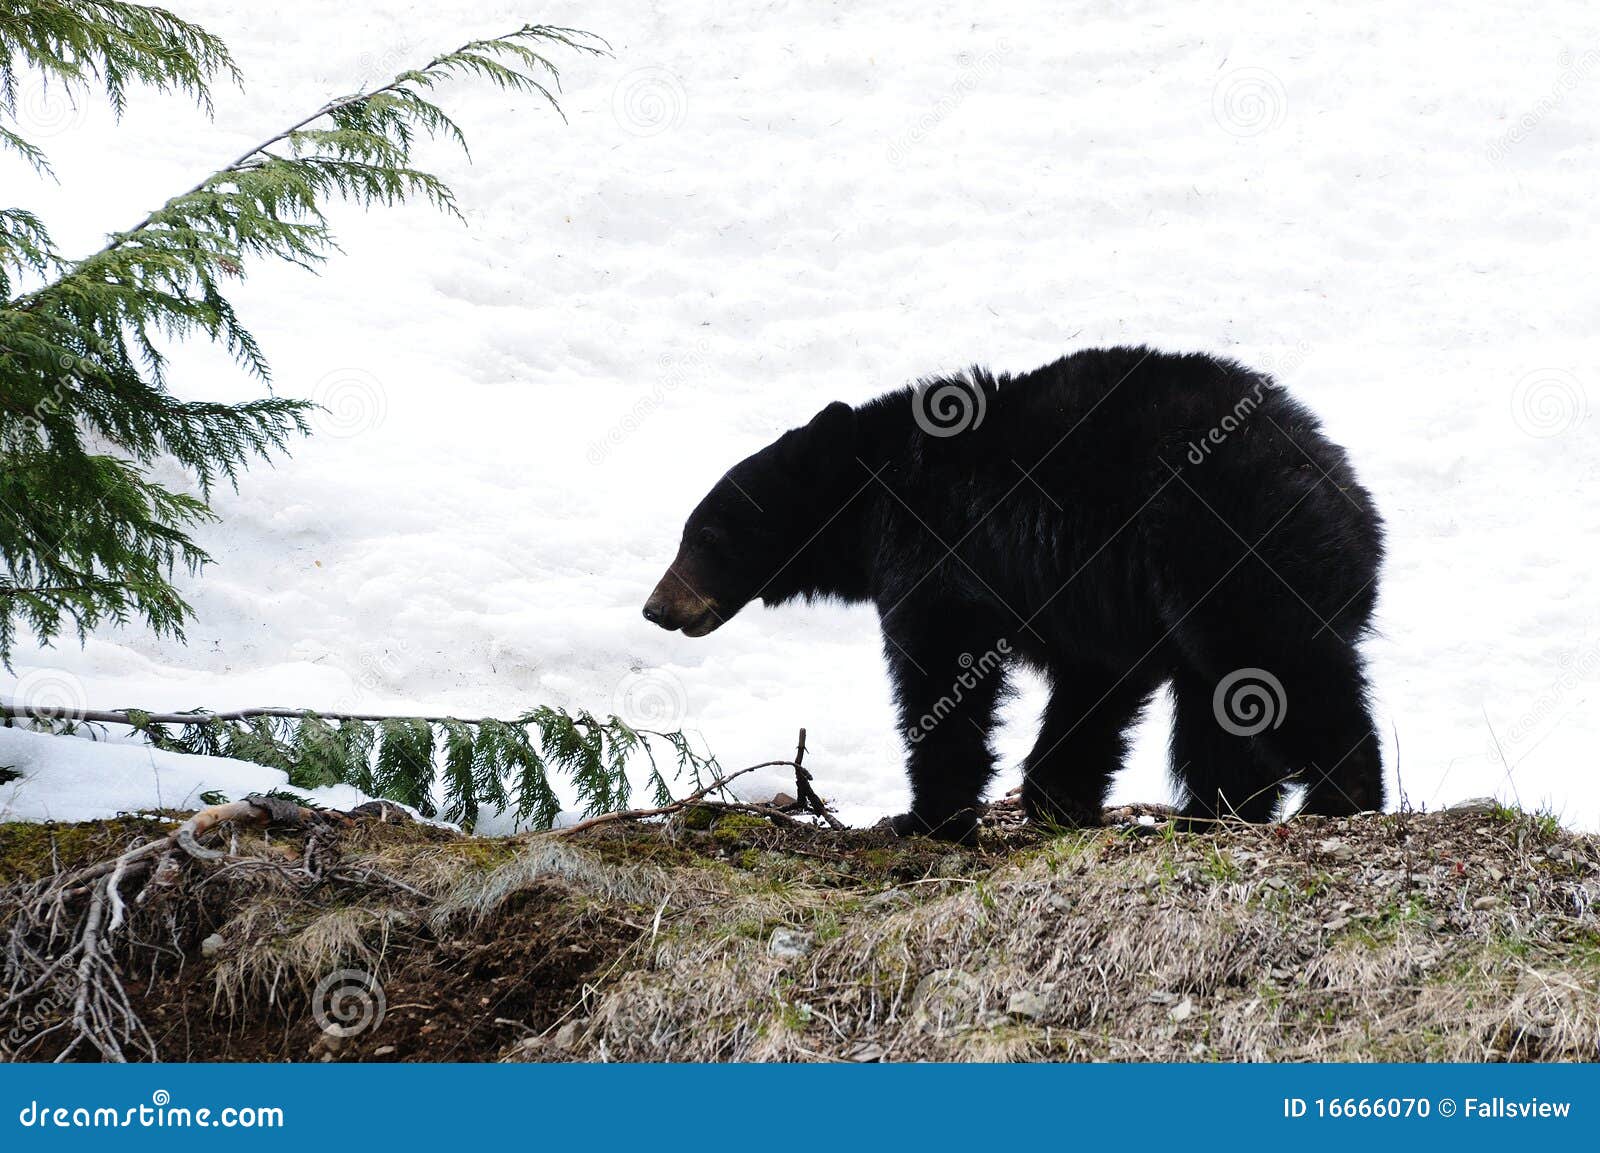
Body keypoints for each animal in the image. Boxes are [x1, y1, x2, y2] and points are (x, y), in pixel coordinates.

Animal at [643, 346, 1385, 843]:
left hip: (1225, 547)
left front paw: (927, 814)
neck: (875, 494)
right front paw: (1057, 799)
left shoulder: (942, 552)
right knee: (1218, 705)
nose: (656, 607)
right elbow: (1095, 686)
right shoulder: (1088, 598)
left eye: (705, 534)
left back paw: (1341, 795)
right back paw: (1215, 813)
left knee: (1274, 664)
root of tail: (1350, 499)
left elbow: (941, 673)